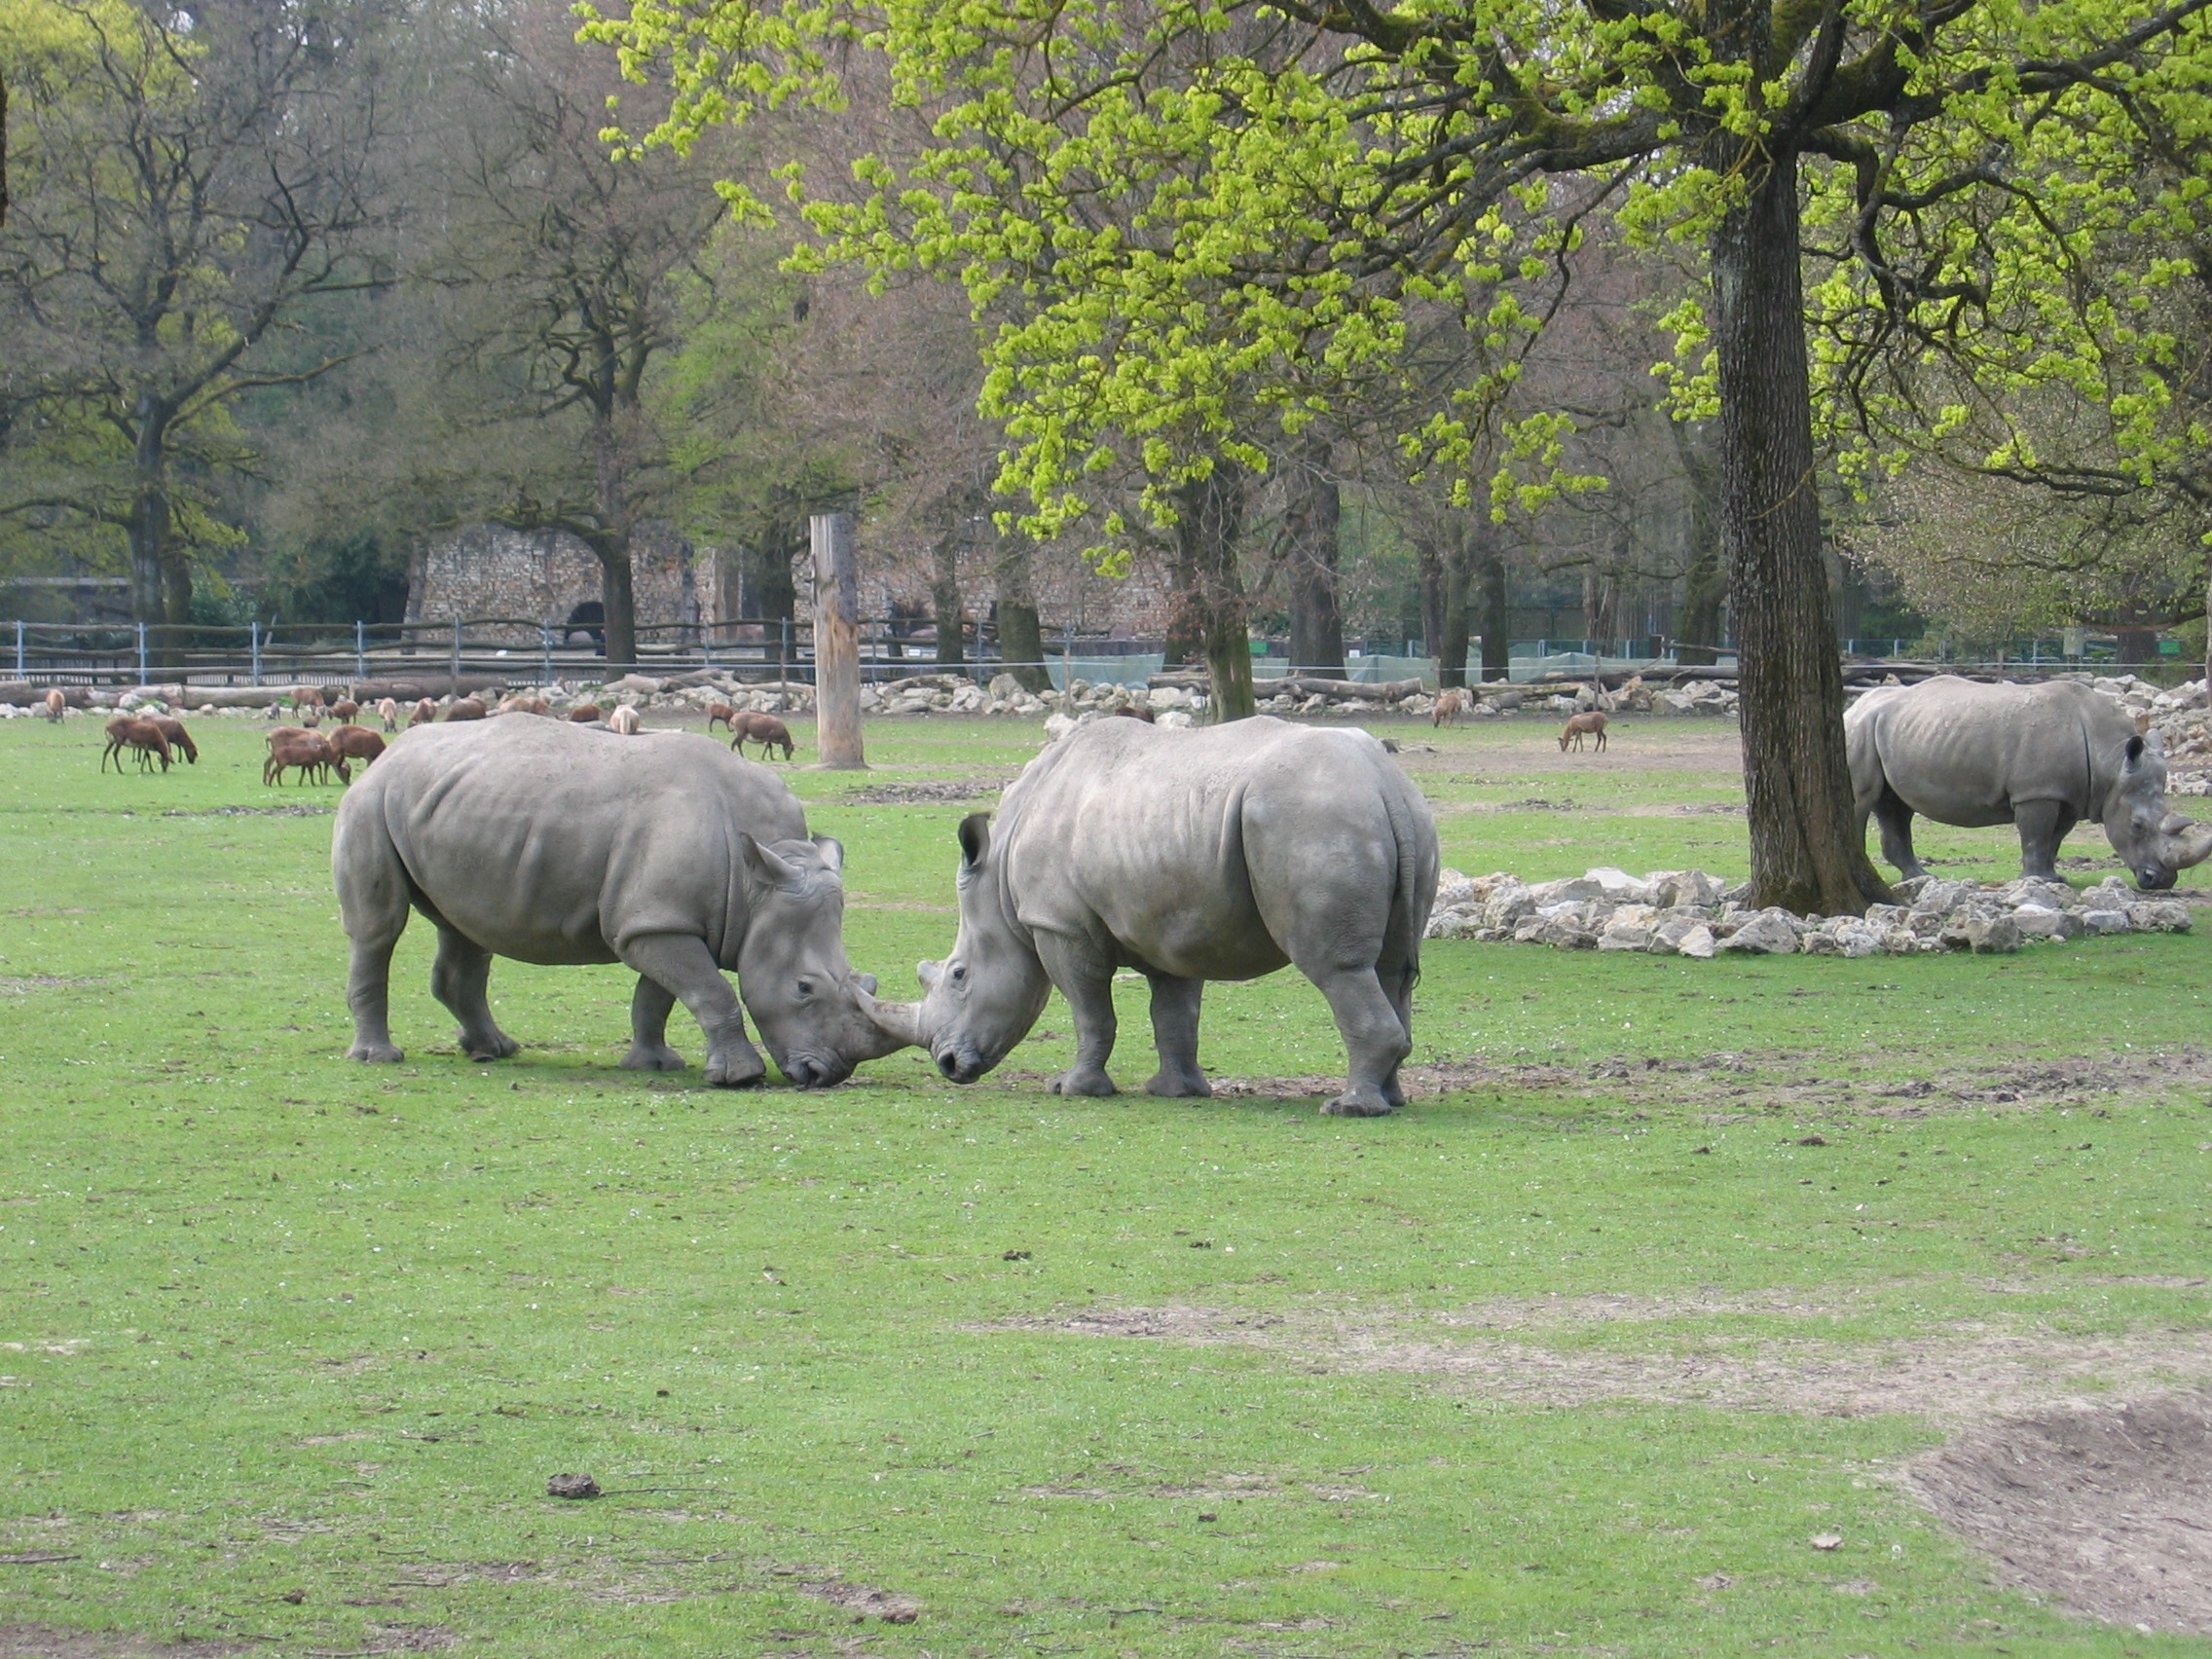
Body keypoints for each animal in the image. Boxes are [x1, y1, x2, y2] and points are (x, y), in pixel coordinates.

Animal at [332, 718, 901, 1086]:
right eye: (804, 988)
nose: (826, 1074)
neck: (756, 882)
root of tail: (389, 753)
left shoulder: (659, 919)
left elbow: (660, 996)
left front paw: (655, 1065)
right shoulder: (656, 922)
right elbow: (711, 991)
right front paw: (739, 1077)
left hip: (451, 807)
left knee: (467, 927)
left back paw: (495, 1051)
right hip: (371, 801)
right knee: (379, 929)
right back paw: (378, 1059)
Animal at [866, 717, 1439, 1116]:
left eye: (959, 975)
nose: (947, 1064)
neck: (1000, 879)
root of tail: (1382, 782)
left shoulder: (1058, 923)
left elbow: (1091, 1011)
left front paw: (1073, 1089)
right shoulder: (1172, 927)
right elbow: (1173, 1014)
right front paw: (1177, 1092)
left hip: (1311, 819)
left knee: (1336, 968)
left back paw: (1349, 1108)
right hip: (1400, 817)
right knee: (1392, 970)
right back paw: (1390, 1098)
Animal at [1846, 675, 2212, 890]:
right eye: (2136, 825)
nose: (2161, 881)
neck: (2111, 760)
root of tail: (1854, 705)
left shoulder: (2068, 794)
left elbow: (2054, 839)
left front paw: (2054, 878)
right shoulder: (2036, 792)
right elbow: (2035, 836)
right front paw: (2036, 881)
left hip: (1893, 729)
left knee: (1895, 806)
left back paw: (1922, 879)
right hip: (1857, 729)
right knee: (1861, 802)